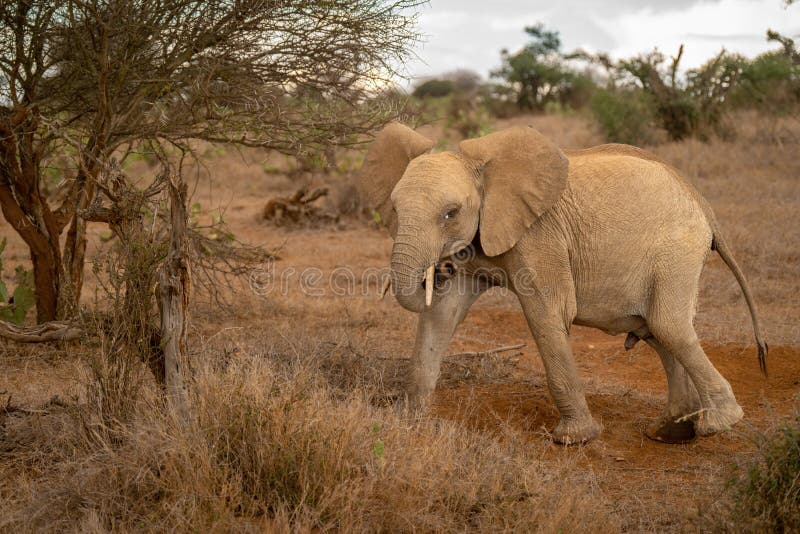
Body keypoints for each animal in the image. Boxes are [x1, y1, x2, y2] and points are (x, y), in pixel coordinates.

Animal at [357, 123, 768, 445]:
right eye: (394, 209)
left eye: (451, 213)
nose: (440, 268)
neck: (486, 170)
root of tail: (703, 203)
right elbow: (442, 315)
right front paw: (405, 420)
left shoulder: (540, 236)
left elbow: (546, 315)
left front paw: (573, 439)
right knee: (658, 331)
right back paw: (670, 432)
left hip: (677, 251)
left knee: (670, 327)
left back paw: (717, 423)